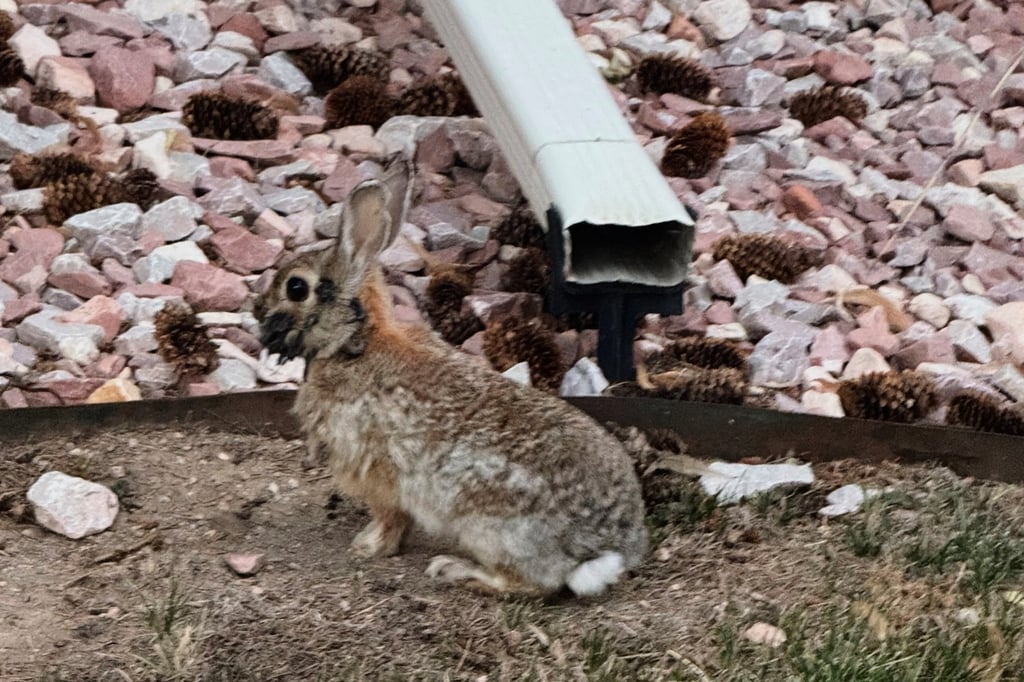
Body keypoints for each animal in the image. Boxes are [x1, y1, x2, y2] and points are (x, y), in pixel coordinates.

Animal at [257, 162, 647, 596]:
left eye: (296, 287)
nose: (258, 308)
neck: (356, 341)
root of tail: (602, 551)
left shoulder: (377, 472)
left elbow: (390, 516)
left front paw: (368, 547)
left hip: (485, 524)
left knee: (528, 585)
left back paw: (455, 570)